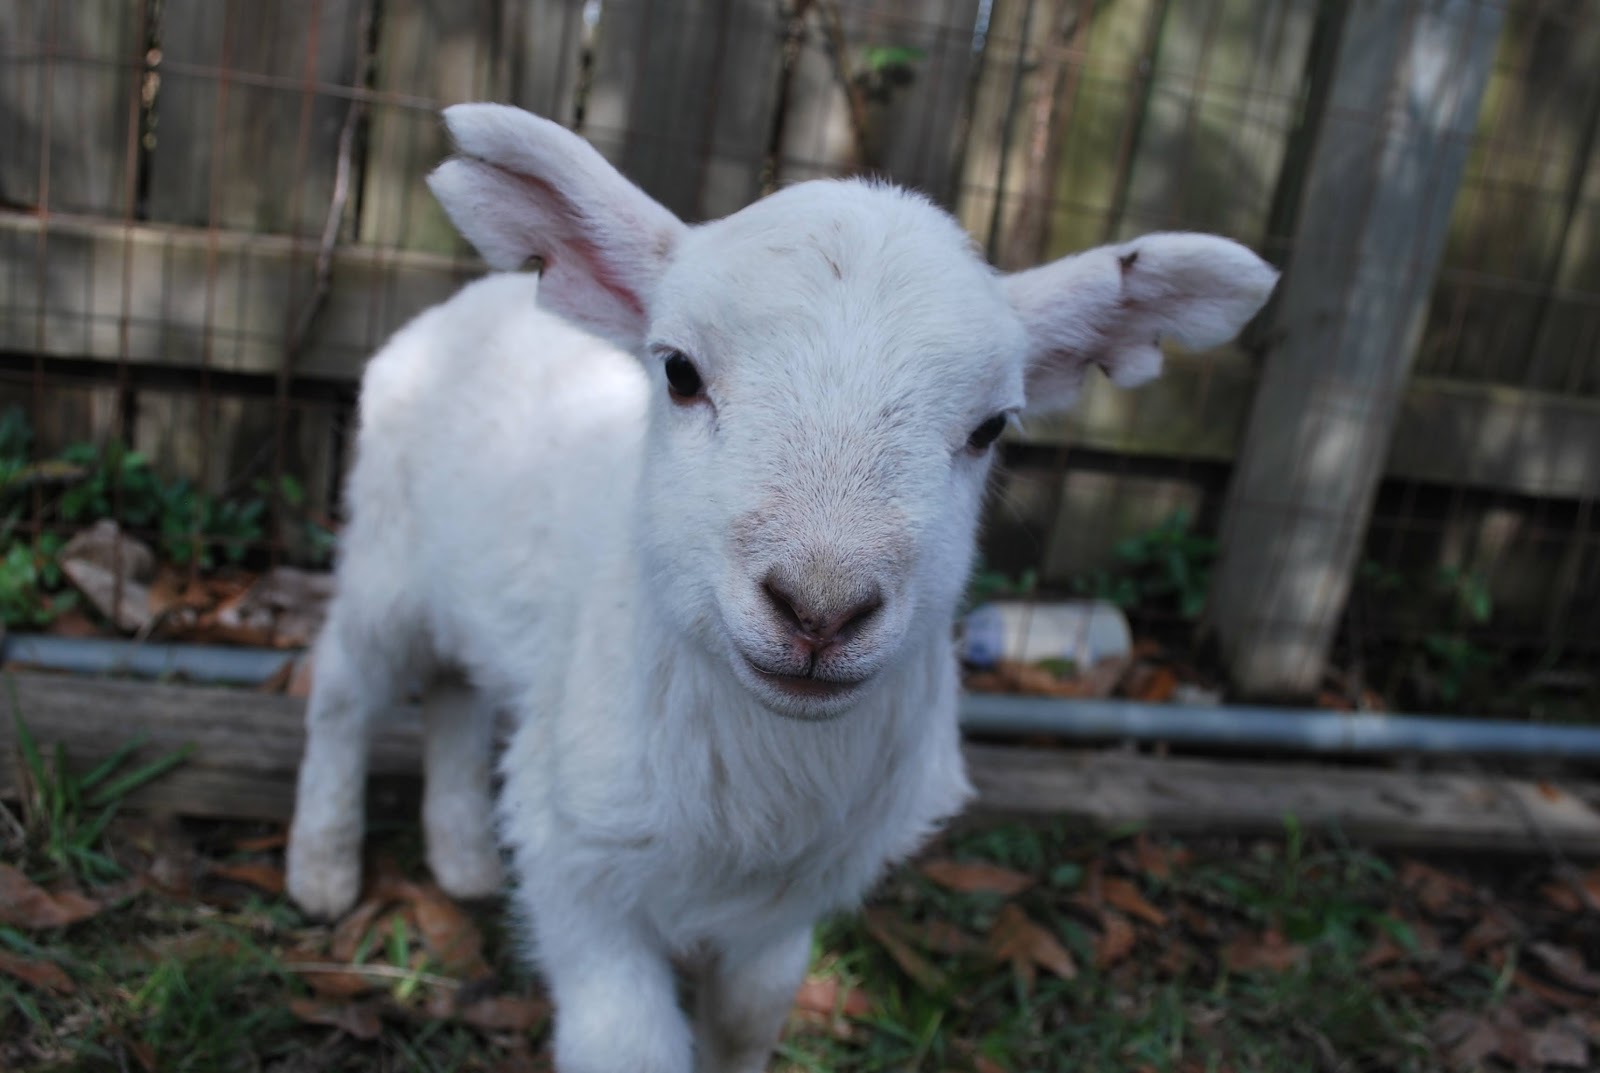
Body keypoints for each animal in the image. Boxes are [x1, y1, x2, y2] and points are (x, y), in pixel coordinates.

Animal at [285, 102, 1278, 1073]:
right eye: (680, 371)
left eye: (993, 425)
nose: (820, 609)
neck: (763, 777)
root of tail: (477, 296)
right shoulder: (579, 860)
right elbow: (631, 1046)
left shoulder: (788, 901)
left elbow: (749, 1016)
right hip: (385, 551)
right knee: (342, 684)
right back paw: (322, 870)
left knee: (455, 687)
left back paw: (464, 859)